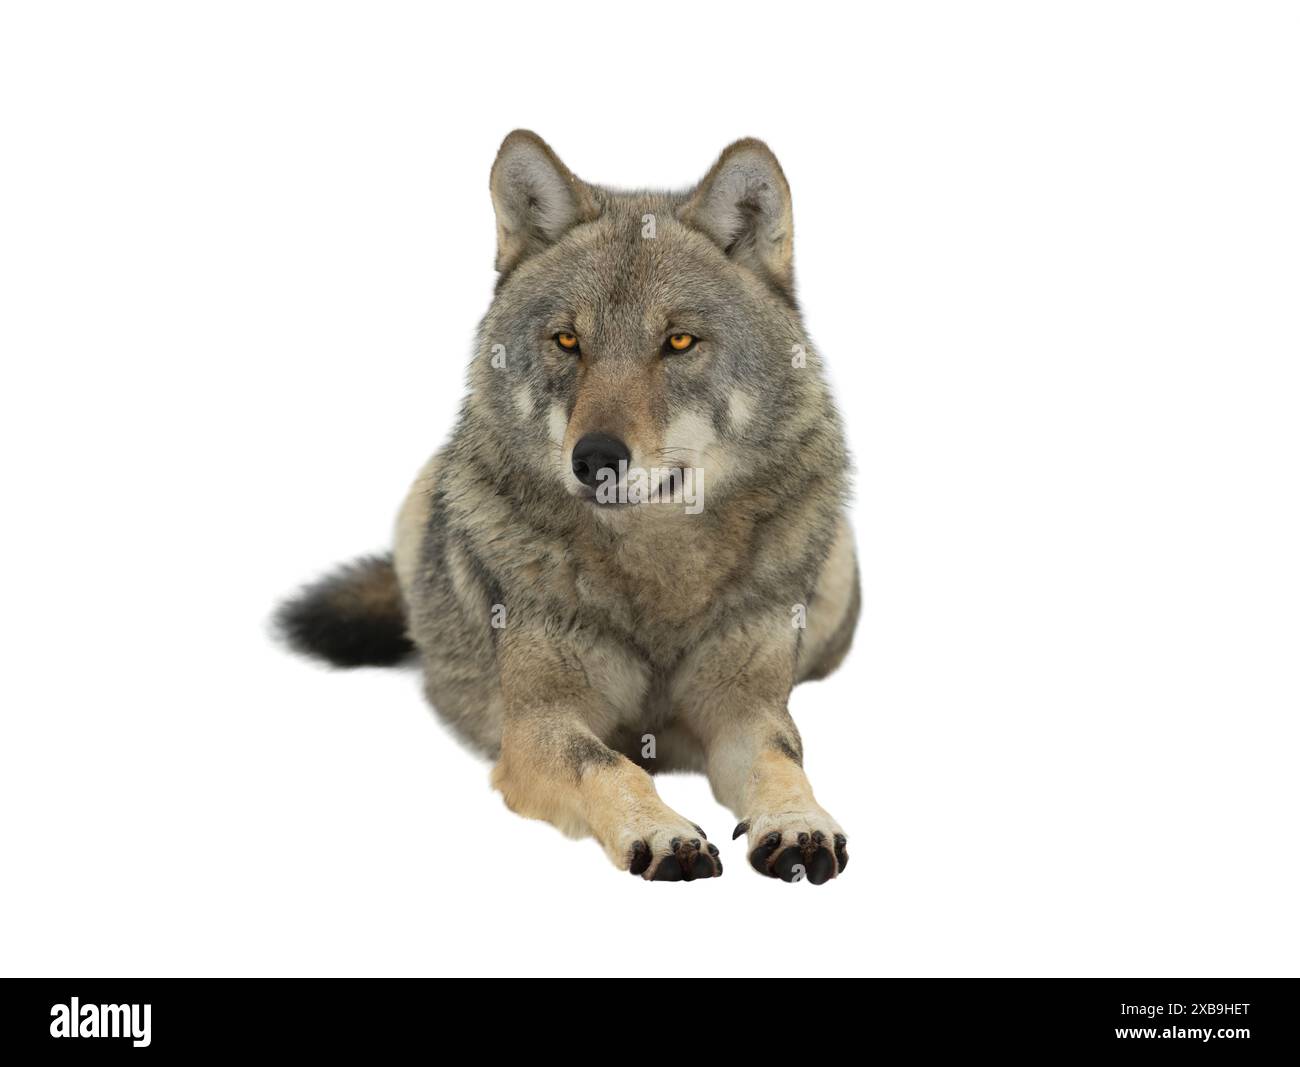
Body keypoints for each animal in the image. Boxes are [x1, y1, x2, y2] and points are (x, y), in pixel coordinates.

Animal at [278, 131, 860, 883]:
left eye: (677, 341)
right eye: (567, 341)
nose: (595, 458)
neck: (657, 575)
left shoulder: (745, 710)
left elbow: (781, 760)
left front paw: (798, 823)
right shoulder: (536, 728)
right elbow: (611, 766)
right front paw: (662, 833)